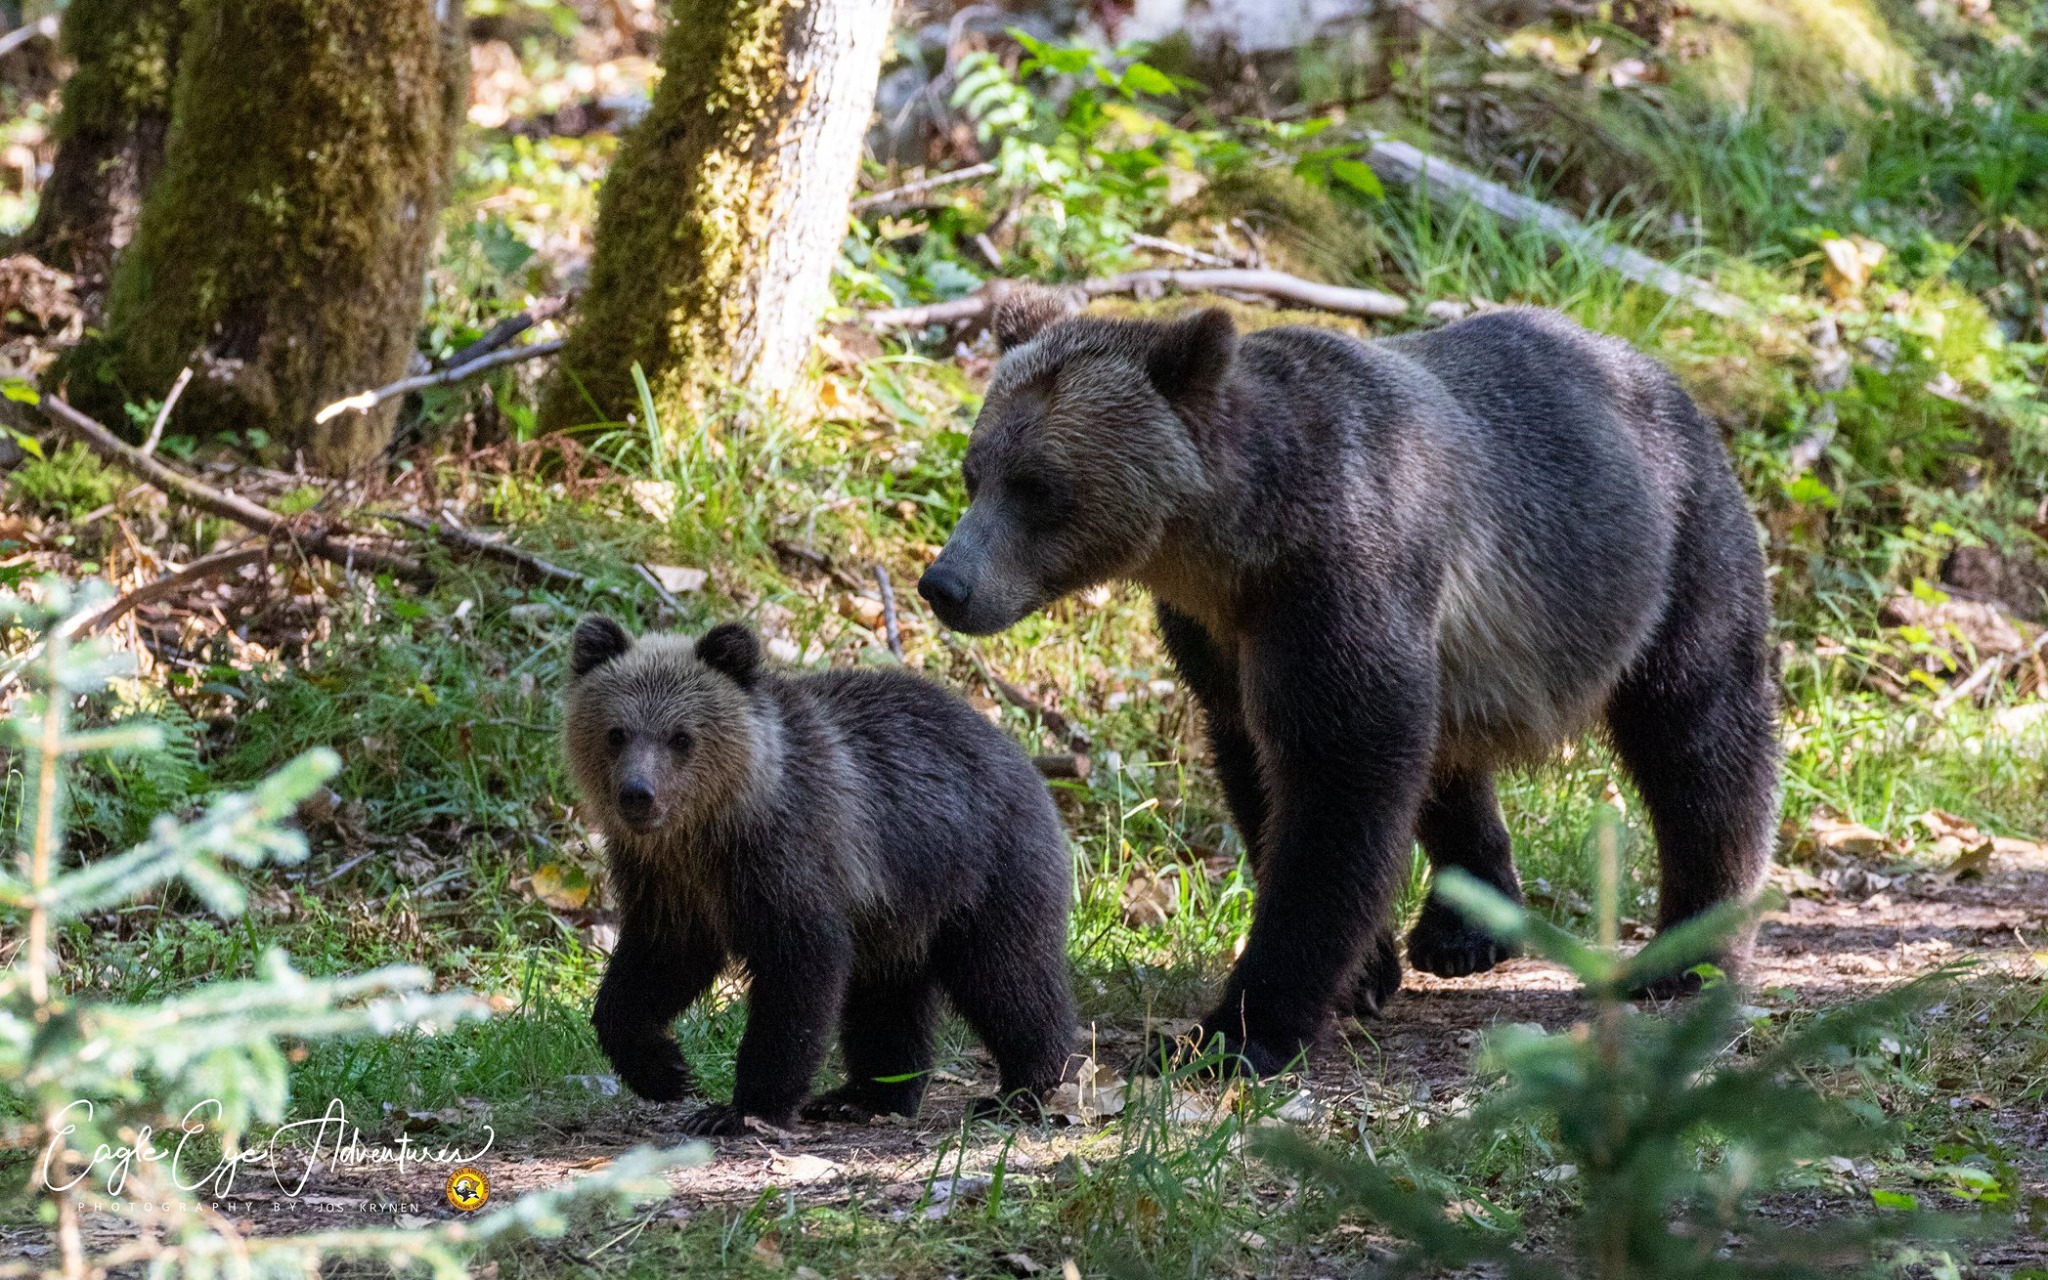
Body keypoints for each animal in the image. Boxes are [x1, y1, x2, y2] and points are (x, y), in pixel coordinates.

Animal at [563, 615, 1077, 1134]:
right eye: (616, 733)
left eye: (681, 736)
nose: (637, 793)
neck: (709, 832)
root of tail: (1021, 756)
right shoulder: (667, 884)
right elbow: (655, 966)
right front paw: (664, 1070)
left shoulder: (787, 859)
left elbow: (800, 973)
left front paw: (739, 1108)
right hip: (895, 913)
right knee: (885, 1003)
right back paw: (864, 1096)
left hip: (980, 872)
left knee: (1008, 978)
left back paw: (1022, 1090)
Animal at [917, 294, 1779, 1077]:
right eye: (974, 471)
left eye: (1038, 486)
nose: (945, 585)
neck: (1234, 544)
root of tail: (1657, 371)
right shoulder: (1219, 641)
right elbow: (1263, 771)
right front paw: (1363, 973)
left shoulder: (1338, 575)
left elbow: (1341, 774)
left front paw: (1238, 1031)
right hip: (1479, 653)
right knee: (1452, 760)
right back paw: (1464, 927)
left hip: (1671, 550)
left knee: (1700, 731)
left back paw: (1690, 950)